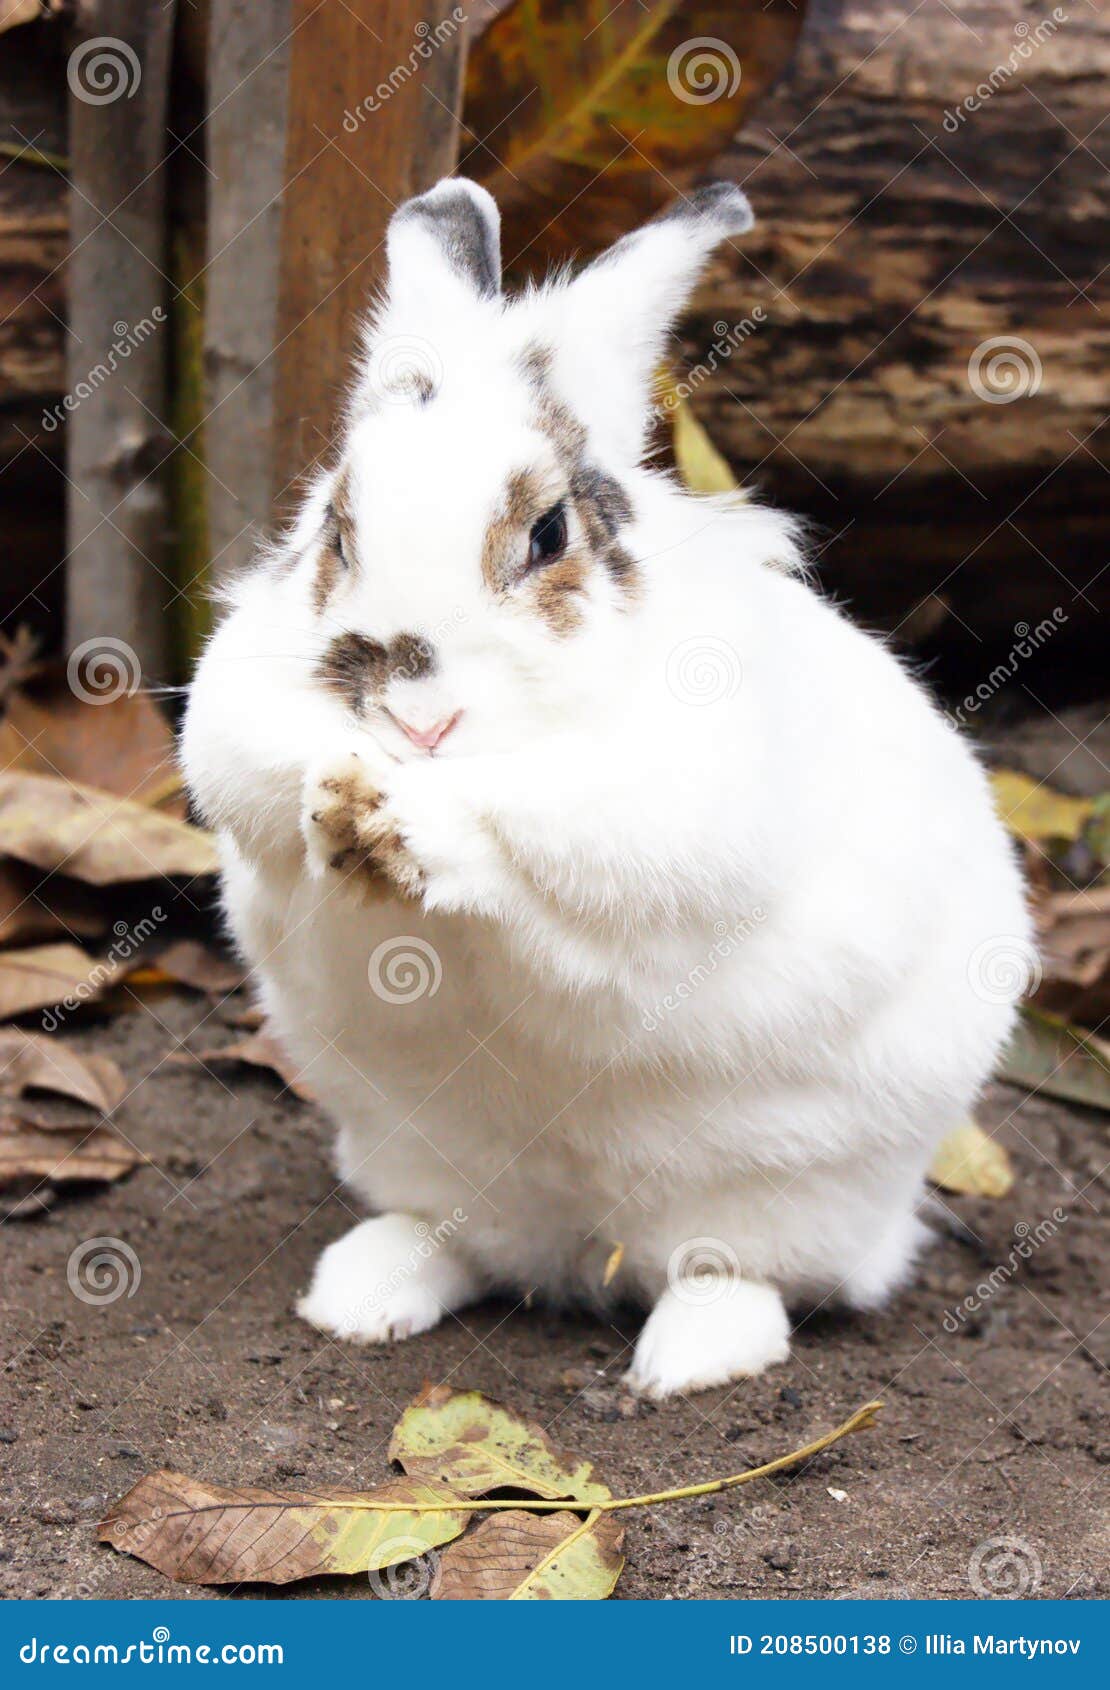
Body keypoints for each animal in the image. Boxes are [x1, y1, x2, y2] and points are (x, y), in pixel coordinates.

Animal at [181, 177, 1032, 1399]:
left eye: (549, 534)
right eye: (336, 533)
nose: (417, 720)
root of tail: (588, 1254)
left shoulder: (655, 819)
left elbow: (541, 866)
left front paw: (415, 825)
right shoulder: (232, 727)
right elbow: (263, 783)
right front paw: (336, 800)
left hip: (796, 1198)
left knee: (745, 1274)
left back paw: (687, 1359)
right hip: (415, 1151)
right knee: (457, 1241)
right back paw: (363, 1294)